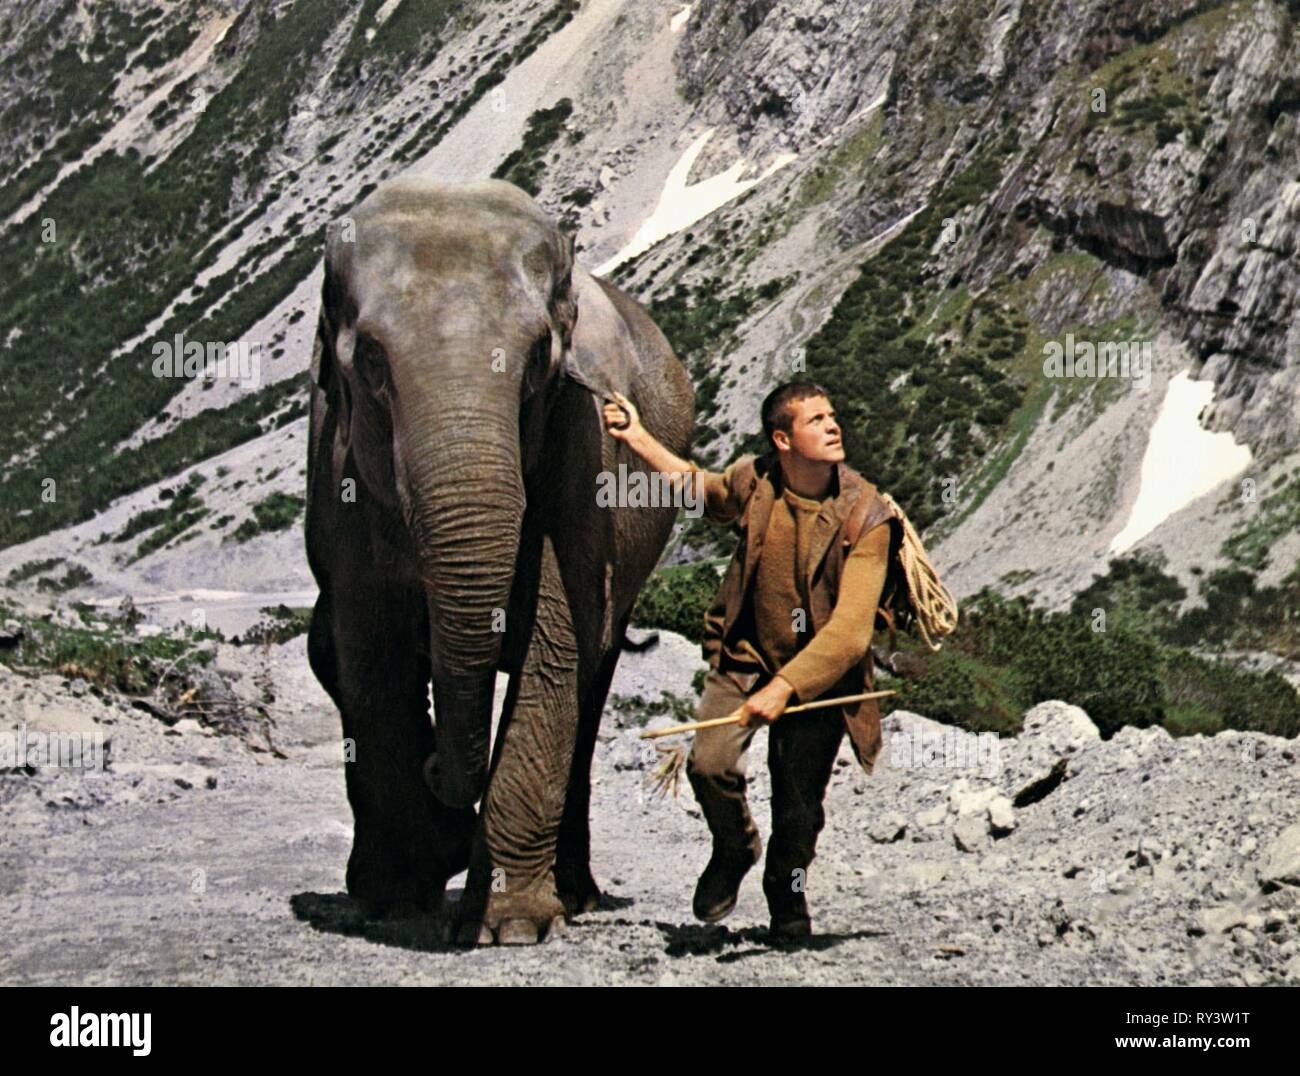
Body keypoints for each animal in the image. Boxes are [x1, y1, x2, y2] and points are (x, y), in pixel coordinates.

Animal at [304, 177, 695, 944]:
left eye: (539, 357)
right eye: (371, 360)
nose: (440, 774)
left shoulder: (582, 456)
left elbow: (555, 645)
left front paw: (508, 926)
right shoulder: (338, 476)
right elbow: (372, 659)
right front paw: (400, 899)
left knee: (592, 685)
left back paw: (574, 894)